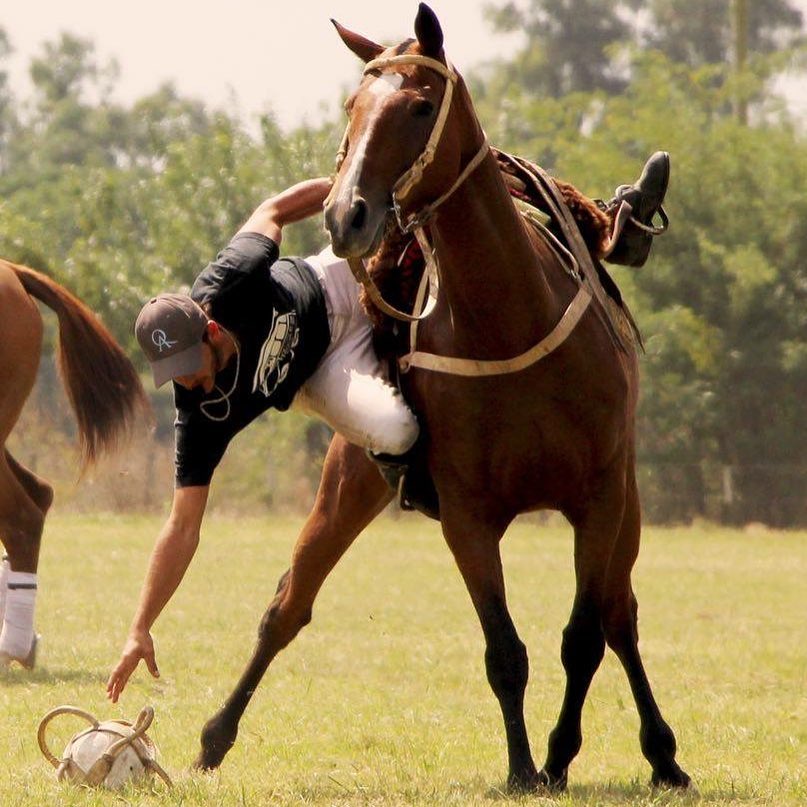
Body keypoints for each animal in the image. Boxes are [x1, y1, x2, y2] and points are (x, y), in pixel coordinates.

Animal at [193, 4, 691, 791]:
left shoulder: (600, 496)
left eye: (421, 106)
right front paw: (524, 766)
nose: (346, 214)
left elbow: (583, 635)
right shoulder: (467, 512)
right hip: (351, 474)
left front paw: (556, 753)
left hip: (628, 502)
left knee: (619, 615)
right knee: (287, 604)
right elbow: (504, 651)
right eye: (352, 105)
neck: (508, 316)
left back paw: (662, 754)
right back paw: (214, 737)